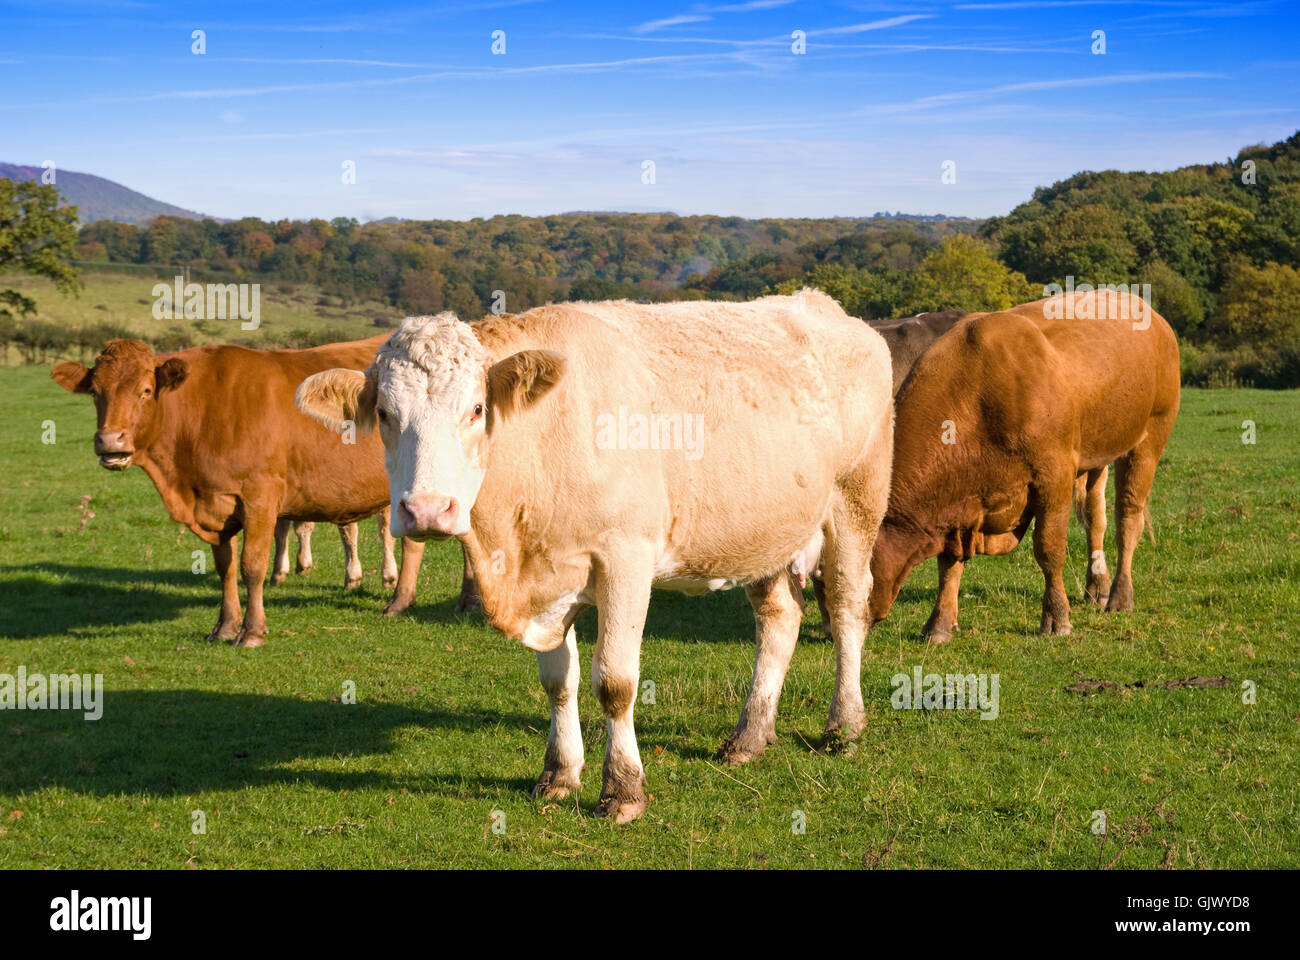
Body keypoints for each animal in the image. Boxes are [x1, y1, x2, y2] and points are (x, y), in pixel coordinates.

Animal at [50, 335, 444, 647]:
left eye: (145, 391)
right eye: (95, 394)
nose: (110, 442)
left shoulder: (260, 496)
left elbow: (252, 565)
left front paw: (252, 631)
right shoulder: (216, 505)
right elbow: (224, 567)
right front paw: (225, 626)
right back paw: (404, 601)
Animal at [296, 291, 894, 823]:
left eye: (476, 409)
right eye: (384, 413)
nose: (425, 510)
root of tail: (823, 304)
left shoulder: (626, 558)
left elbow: (615, 681)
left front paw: (623, 791)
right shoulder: (547, 580)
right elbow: (558, 680)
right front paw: (559, 774)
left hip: (855, 501)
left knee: (847, 609)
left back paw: (844, 725)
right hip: (760, 530)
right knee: (780, 619)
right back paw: (749, 736)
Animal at [867, 289, 1180, 644]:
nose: (832, 632)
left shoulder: (1053, 477)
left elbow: (1049, 549)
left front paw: (1056, 617)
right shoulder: (958, 508)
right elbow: (949, 563)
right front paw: (940, 623)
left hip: (1149, 438)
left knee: (1128, 518)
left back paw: (1120, 595)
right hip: (1095, 455)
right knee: (1095, 520)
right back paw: (1097, 586)